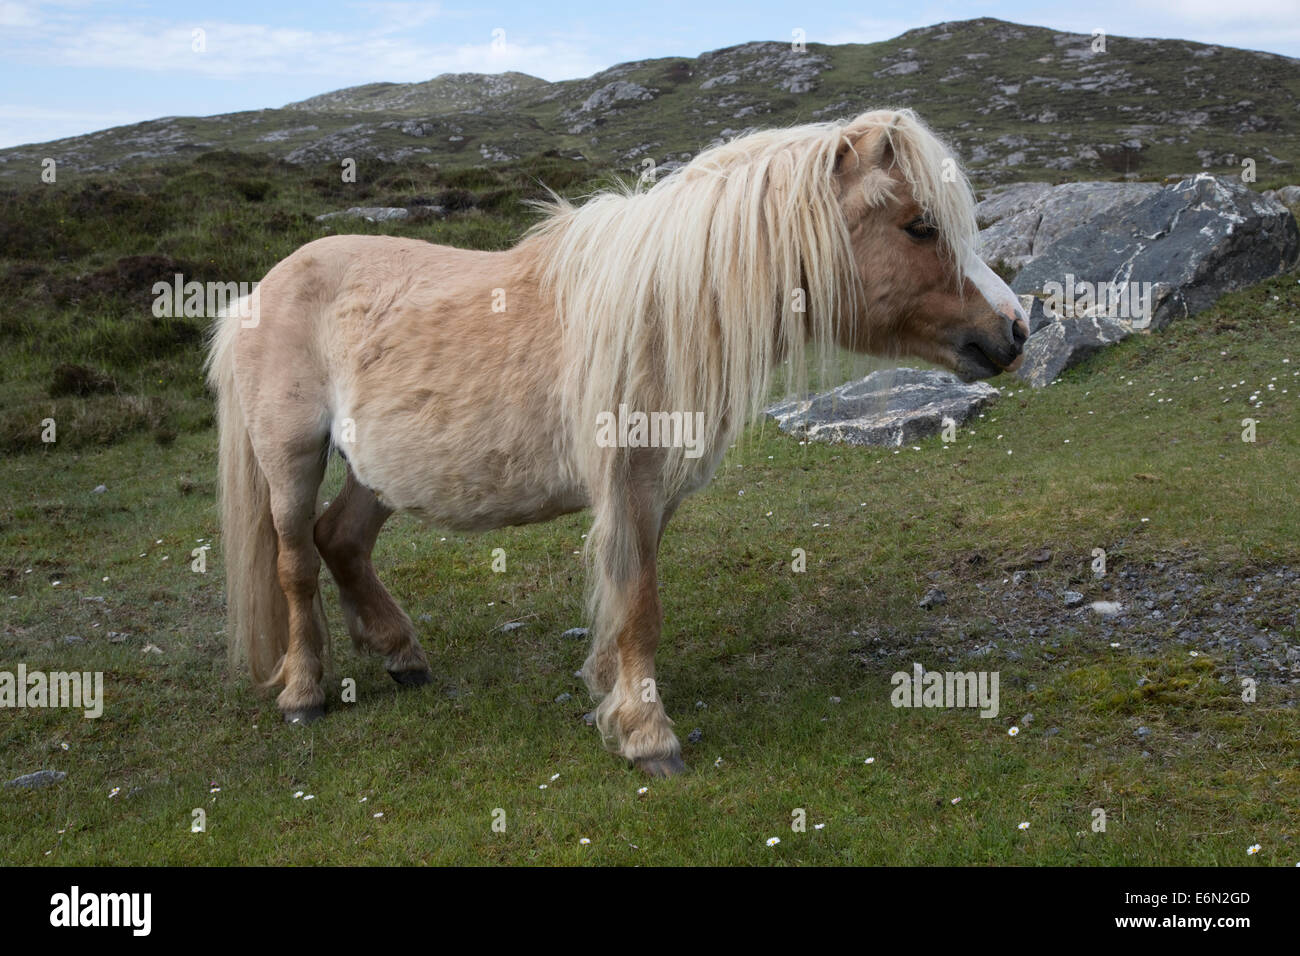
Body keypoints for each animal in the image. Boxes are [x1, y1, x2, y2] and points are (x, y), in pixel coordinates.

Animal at [206, 108, 1028, 777]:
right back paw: (304, 691)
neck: (669, 310)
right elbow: (641, 600)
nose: (1016, 329)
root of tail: (261, 288)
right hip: (290, 458)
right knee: (296, 562)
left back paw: (401, 654)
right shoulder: (629, 481)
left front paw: (609, 688)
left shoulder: (654, 489)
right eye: (919, 225)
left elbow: (629, 594)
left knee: (341, 539)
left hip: (379, 470)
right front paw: (647, 735)